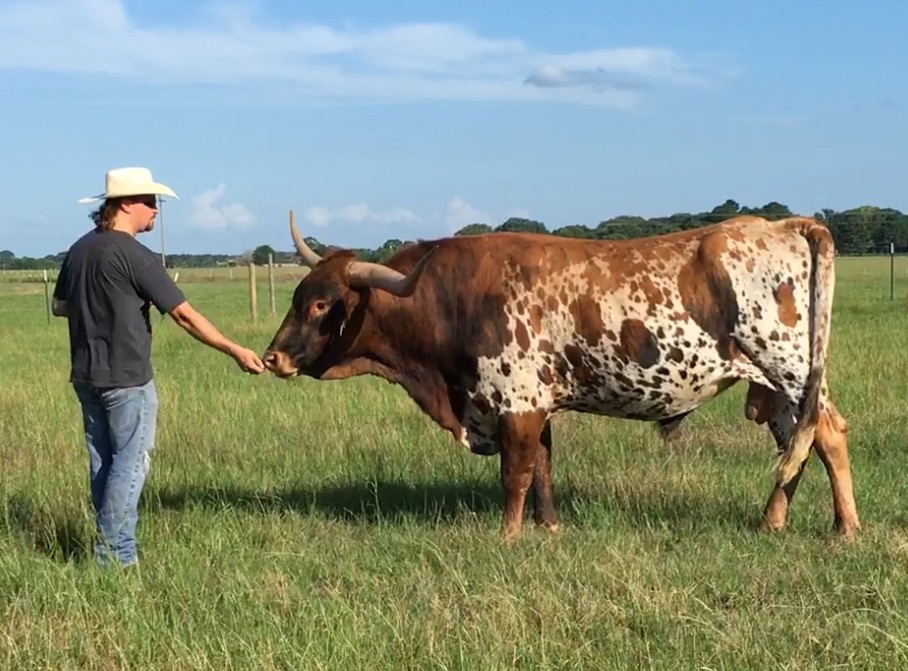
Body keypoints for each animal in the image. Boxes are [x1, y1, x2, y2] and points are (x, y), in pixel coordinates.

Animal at [262, 211, 859, 540]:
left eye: (321, 305)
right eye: (297, 296)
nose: (272, 358)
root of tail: (780, 224)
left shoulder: (517, 401)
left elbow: (516, 475)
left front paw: (507, 536)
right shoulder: (535, 405)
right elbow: (544, 471)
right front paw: (548, 528)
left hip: (792, 369)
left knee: (827, 437)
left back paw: (846, 529)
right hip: (776, 388)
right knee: (796, 445)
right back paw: (774, 521)